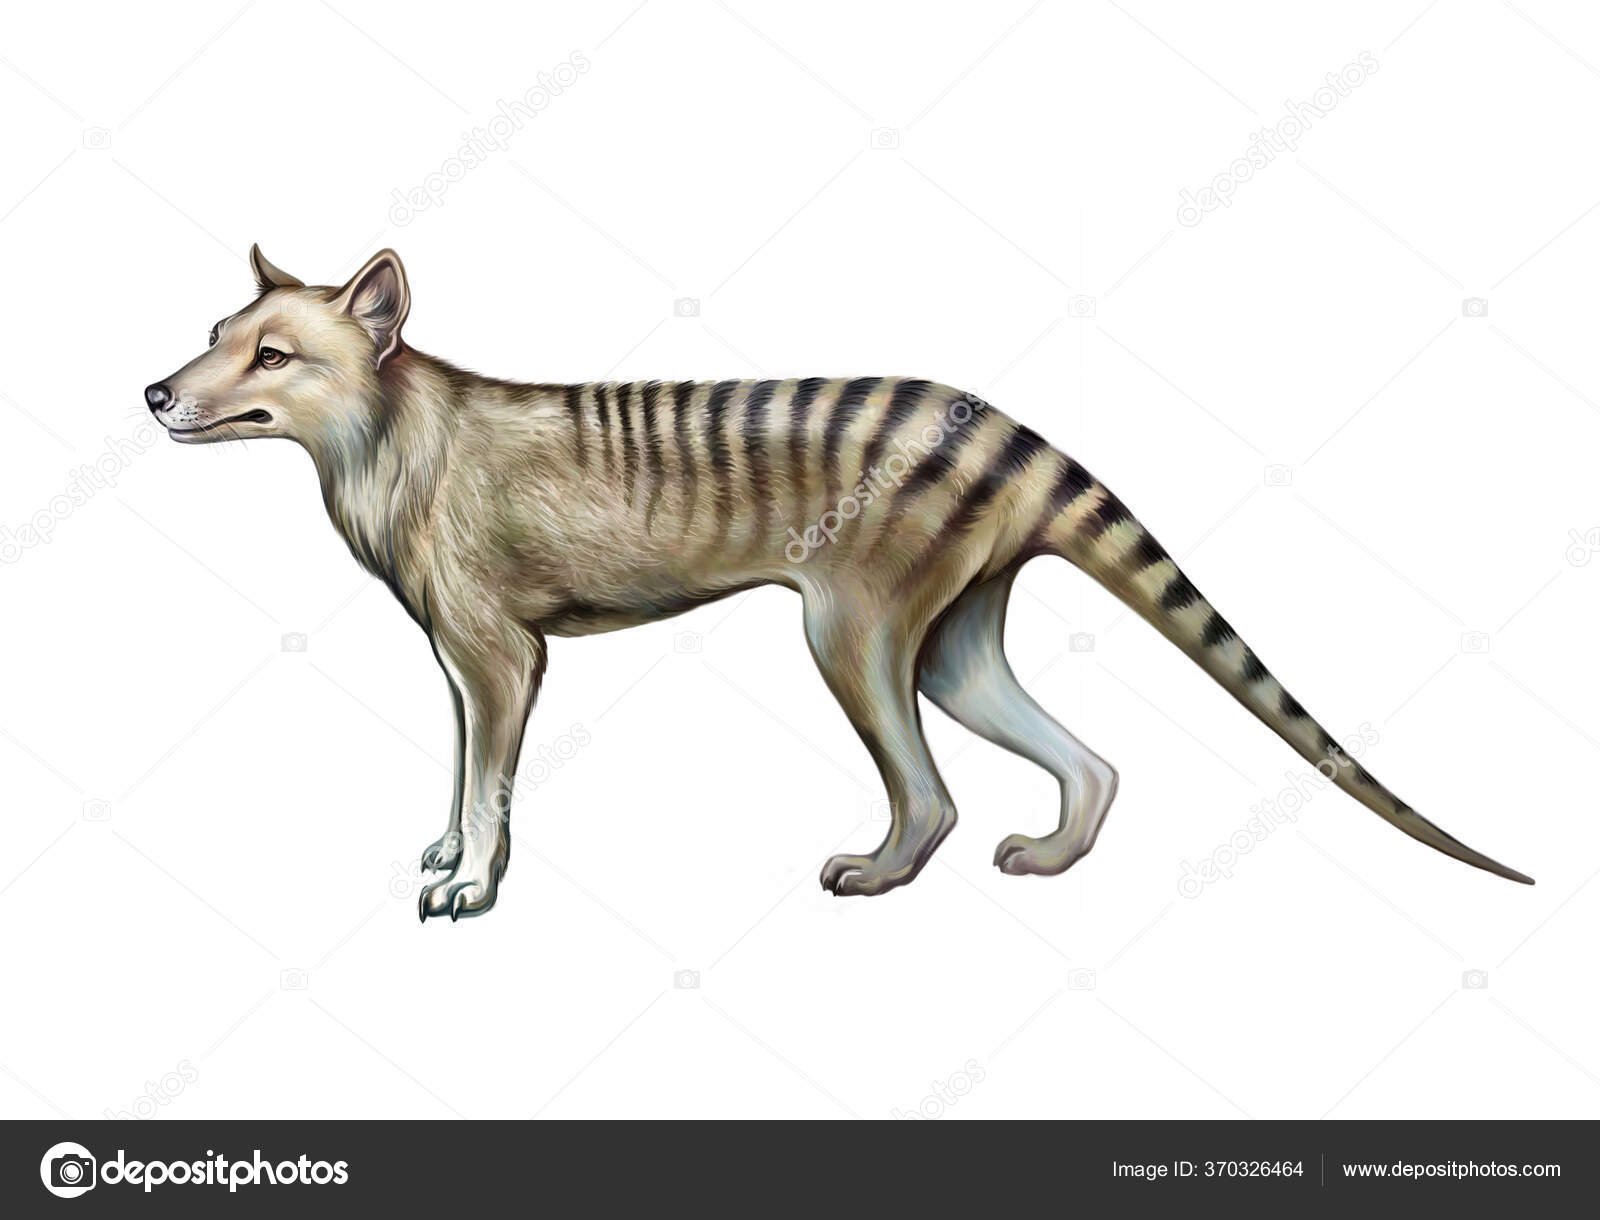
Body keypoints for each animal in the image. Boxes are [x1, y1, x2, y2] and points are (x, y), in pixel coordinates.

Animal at [144, 246, 1532, 920]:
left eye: (273, 353)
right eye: (217, 337)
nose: (157, 391)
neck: (392, 431)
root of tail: (1003, 430)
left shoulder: (499, 652)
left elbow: (491, 780)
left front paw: (473, 884)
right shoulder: (456, 658)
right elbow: (456, 769)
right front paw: (440, 847)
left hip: (852, 627)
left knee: (931, 795)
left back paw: (879, 873)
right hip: (954, 639)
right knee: (1089, 762)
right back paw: (1054, 853)